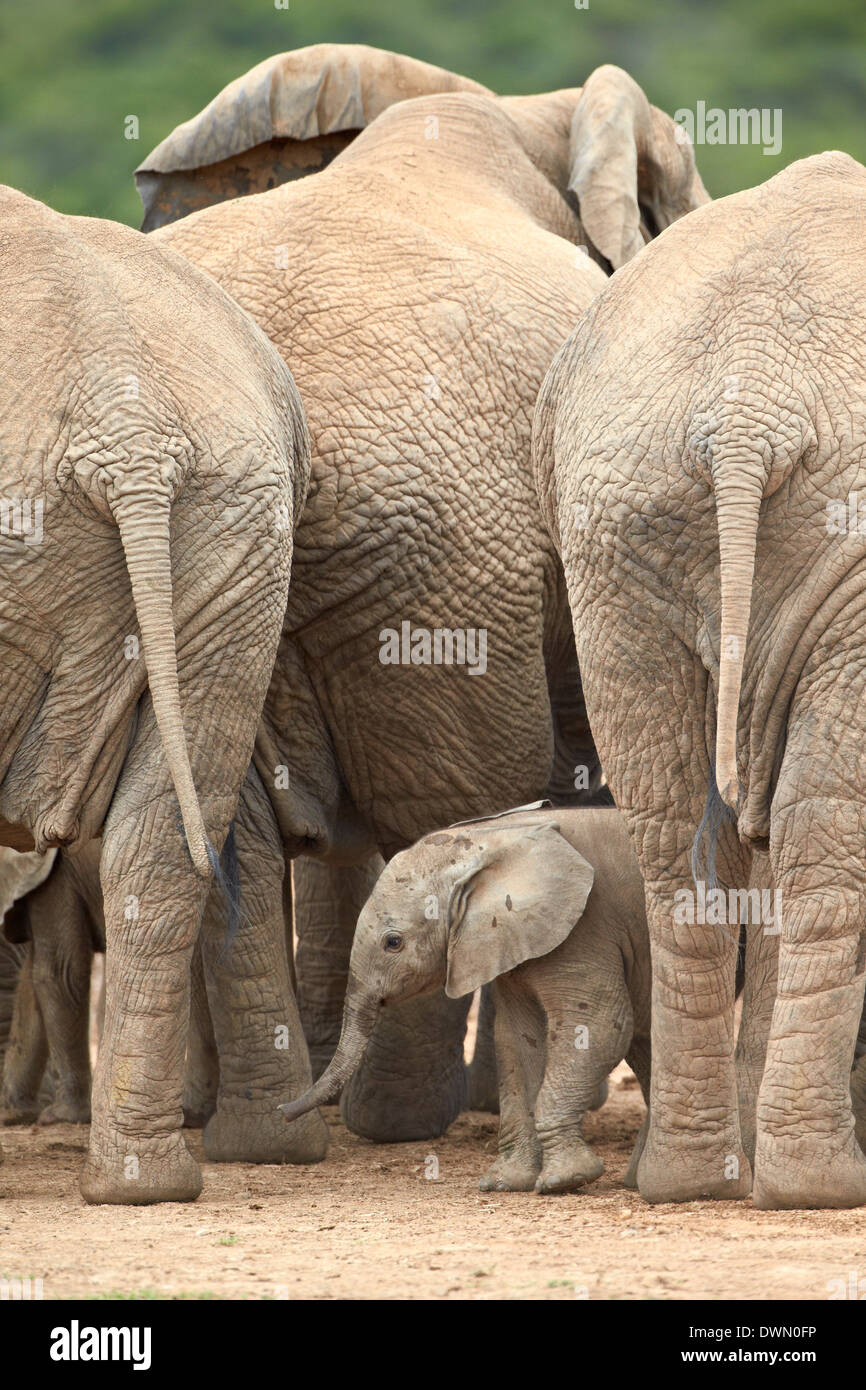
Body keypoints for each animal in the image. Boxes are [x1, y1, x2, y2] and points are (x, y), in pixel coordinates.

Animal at [136, 44, 707, 1141]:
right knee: (440, 801)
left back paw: (262, 1137)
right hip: (436, 561)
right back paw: (400, 1120)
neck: (525, 111)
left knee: (229, 819)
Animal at [281, 804, 652, 1195]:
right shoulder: (512, 938)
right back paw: (635, 1179)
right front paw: (503, 1183)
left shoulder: (586, 926)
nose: (283, 1111)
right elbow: (519, 1041)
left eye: (393, 942)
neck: (489, 838)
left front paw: (564, 1180)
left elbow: (598, 1026)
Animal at [533, 149, 866, 1208]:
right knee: (819, 825)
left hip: (615, 523)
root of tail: (744, 407)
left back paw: (688, 1176)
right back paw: (815, 1184)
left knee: (677, 824)